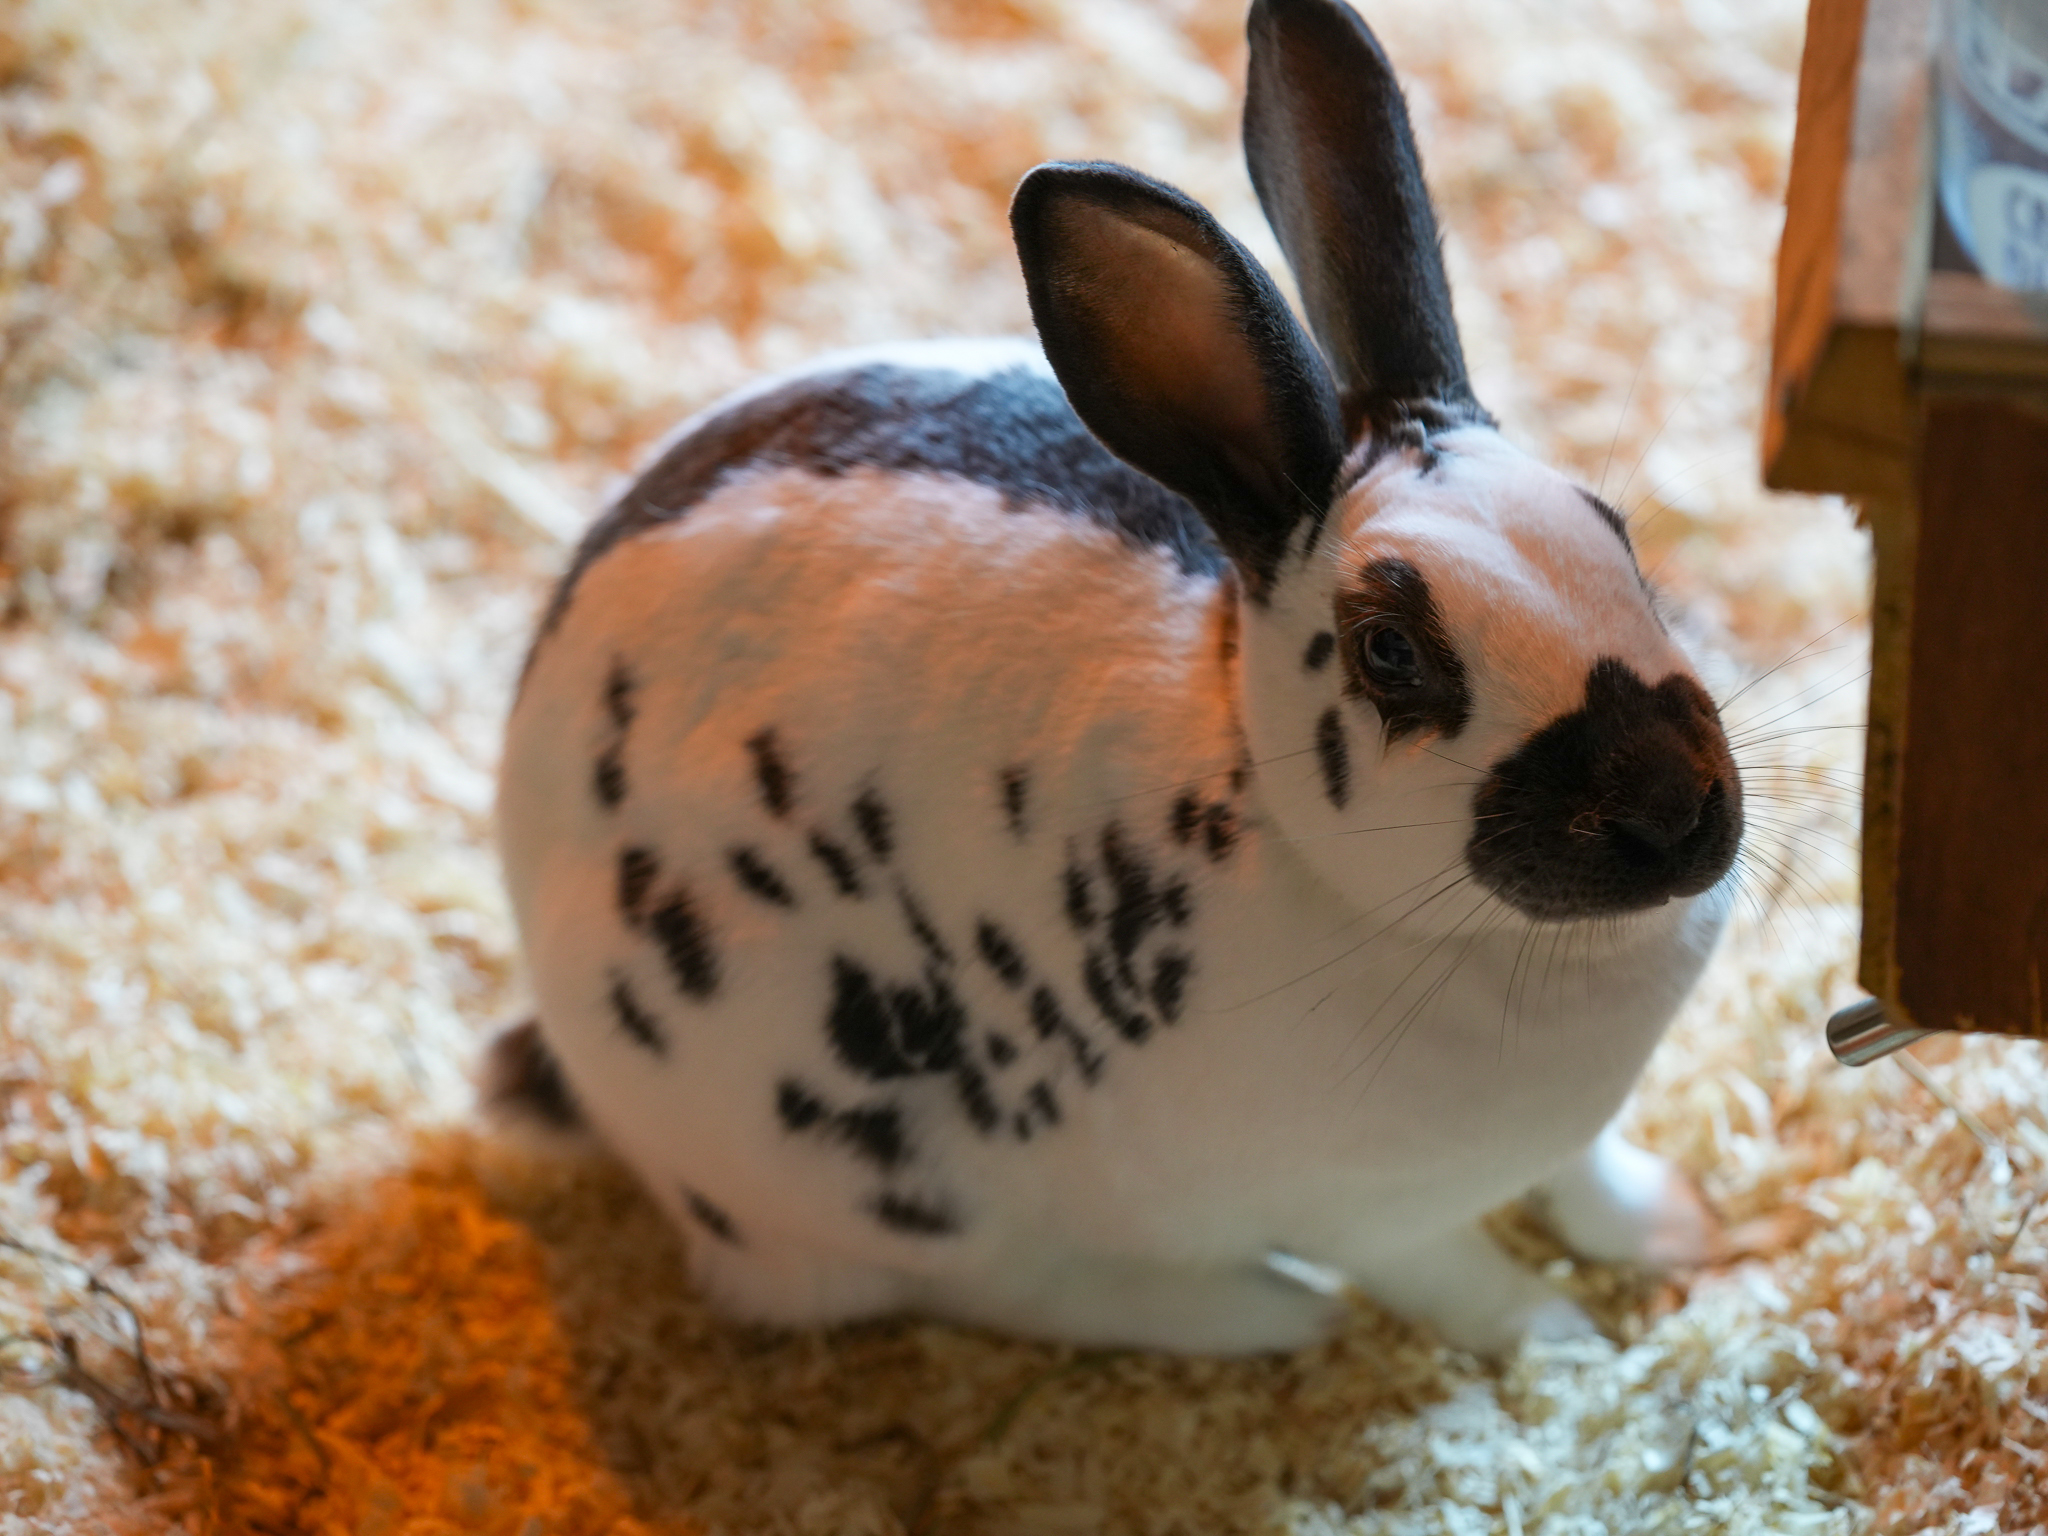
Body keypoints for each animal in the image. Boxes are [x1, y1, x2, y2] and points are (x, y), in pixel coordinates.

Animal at [488, 0, 1742, 1357]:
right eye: (1388, 651)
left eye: (1614, 535)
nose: (1673, 809)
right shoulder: (1379, 1223)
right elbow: (1472, 1285)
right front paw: (1567, 1347)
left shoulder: (1569, 1140)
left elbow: (1592, 1181)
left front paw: (1677, 1232)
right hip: (844, 1161)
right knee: (1007, 1285)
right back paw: (1265, 1315)